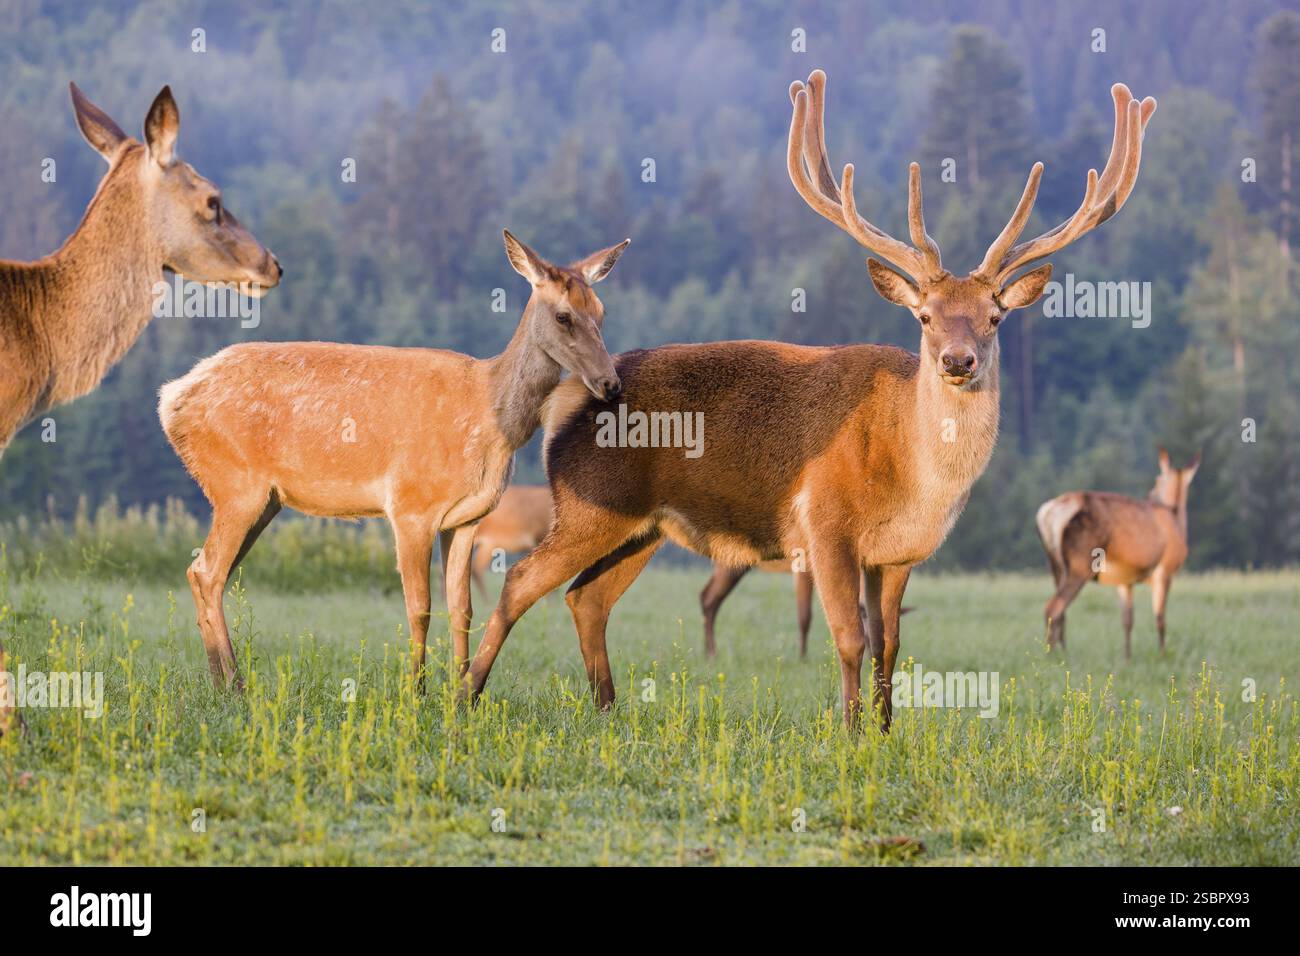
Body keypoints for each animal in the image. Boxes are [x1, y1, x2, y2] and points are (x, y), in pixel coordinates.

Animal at [158, 231, 628, 690]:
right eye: (563, 316)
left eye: (602, 312)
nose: (610, 383)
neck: (489, 417)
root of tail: (172, 397)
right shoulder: (410, 505)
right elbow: (419, 605)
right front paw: (415, 693)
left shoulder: (468, 518)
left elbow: (462, 607)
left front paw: (457, 691)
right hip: (236, 484)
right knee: (208, 572)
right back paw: (234, 685)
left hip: (263, 499)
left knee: (203, 572)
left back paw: (221, 681)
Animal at [461, 70, 1156, 730]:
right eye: (926, 317)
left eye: (995, 316)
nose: (959, 361)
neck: (911, 475)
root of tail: (566, 401)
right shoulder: (825, 525)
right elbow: (849, 639)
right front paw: (849, 734)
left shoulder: (899, 553)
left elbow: (890, 646)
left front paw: (884, 732)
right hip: (590, 503)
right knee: (521, 581)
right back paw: (465, 696)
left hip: (642, 526)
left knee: (587, 598)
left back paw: (606, 709)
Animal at [1037, 448, 1199, 660]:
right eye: (1157, 479)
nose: (1152, 493)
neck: (1177, 521)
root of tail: (1049, 513)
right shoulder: (1165, 570)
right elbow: (1160, 618)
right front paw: (1162, 655)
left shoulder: (1125, 580)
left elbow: (1127, 619)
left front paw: (1127, 657)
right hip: (1081, 564)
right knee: (1053, 608)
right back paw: (1052, 655)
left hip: (1055, 565)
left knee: (1061, 610)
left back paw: (1063, 652)